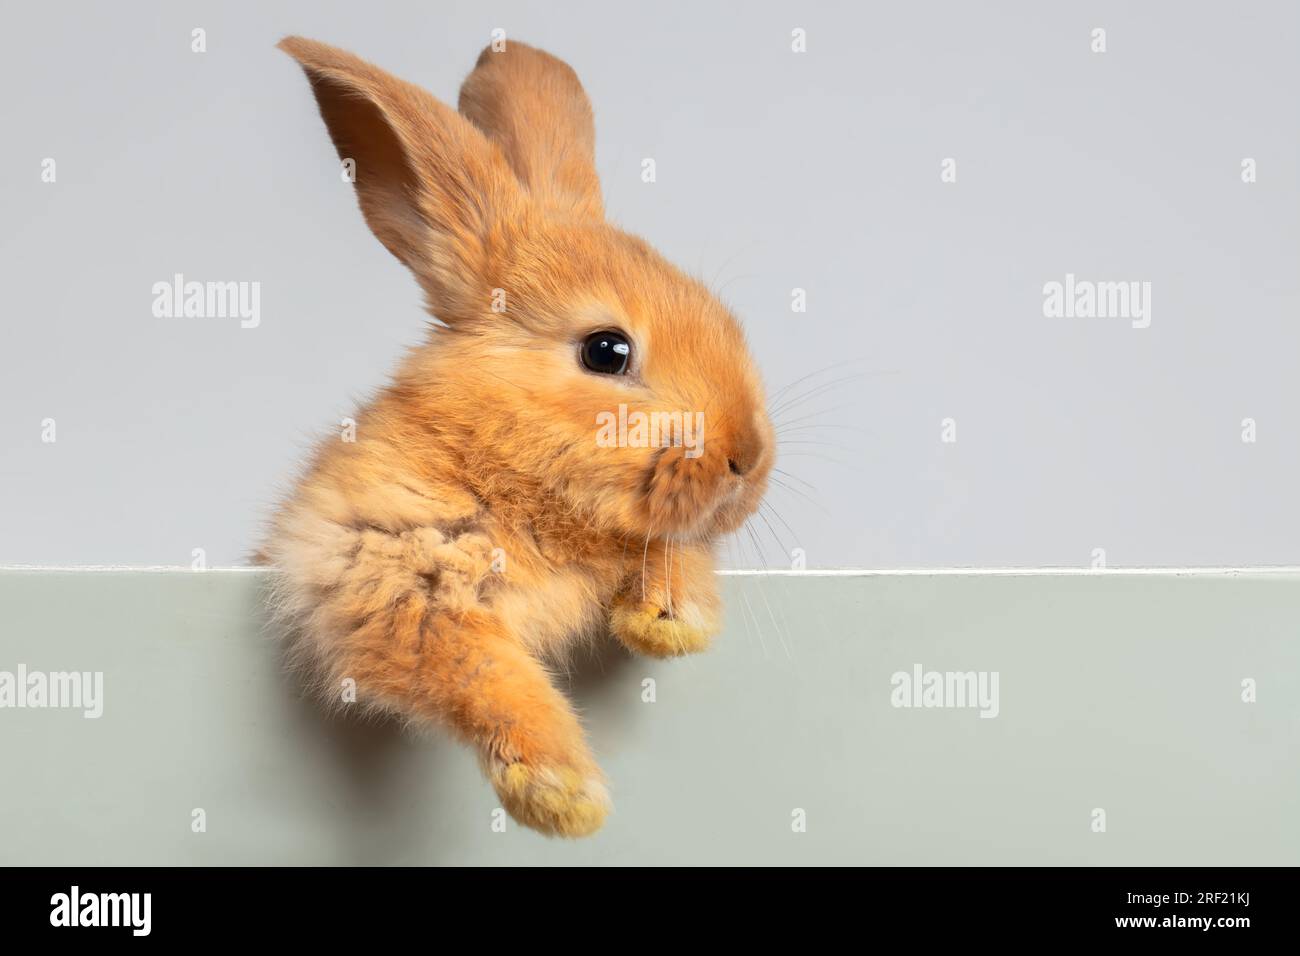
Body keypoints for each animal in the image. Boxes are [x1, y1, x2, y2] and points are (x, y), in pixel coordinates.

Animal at [262, 36, 774, 838]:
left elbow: (675, 551)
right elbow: (488, 674)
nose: (747, 458)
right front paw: (564, 796)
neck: (505, 466)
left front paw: (667, 623)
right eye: (606, 351)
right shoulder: (388, 575)